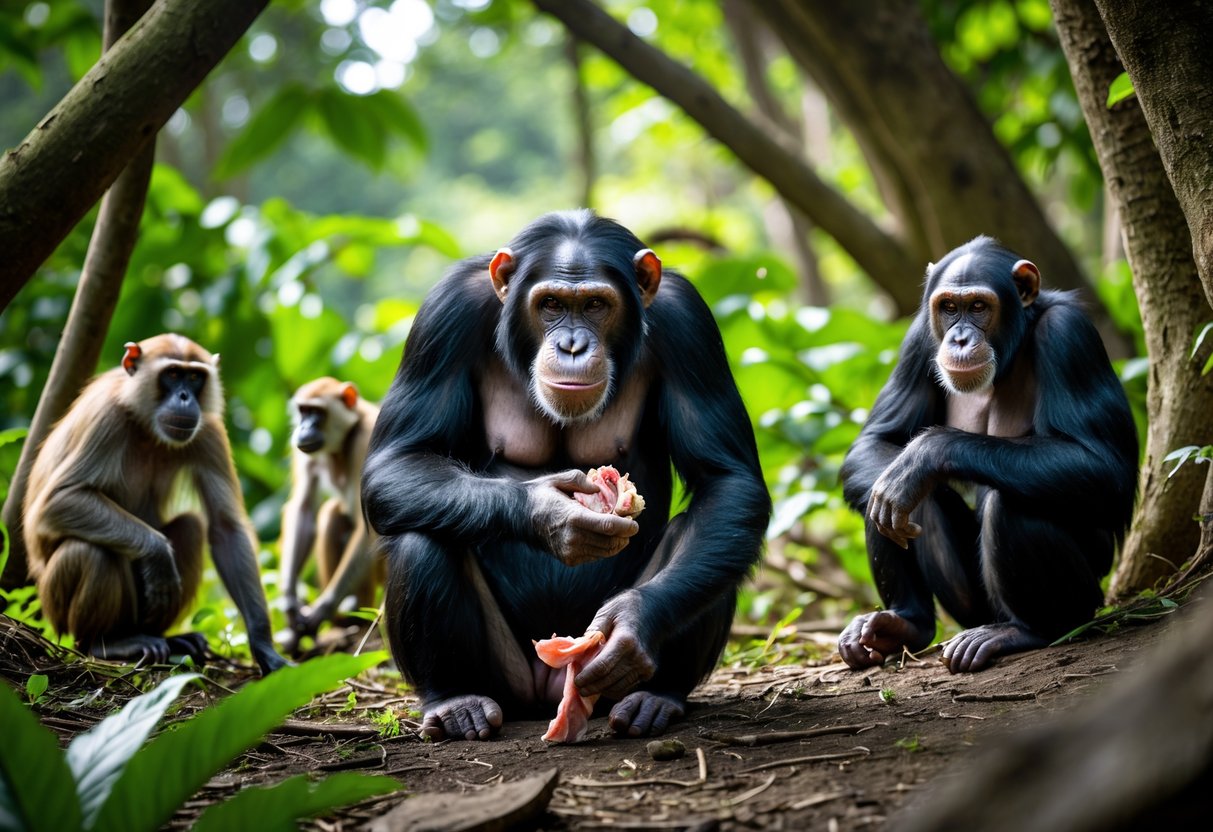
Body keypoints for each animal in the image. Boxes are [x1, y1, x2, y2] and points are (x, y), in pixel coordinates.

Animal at [23, 334, 286, 673]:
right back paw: (106, 643)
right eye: (172, 374)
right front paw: (158, 553)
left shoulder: (208, 429)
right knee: (89, 552)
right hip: (55, 605)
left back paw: (168, 639)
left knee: (191, 527)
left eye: (195, 377)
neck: (146, 427)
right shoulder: (107, 418)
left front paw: (264, 646)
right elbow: (57, 501)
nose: (186, 397)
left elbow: (226, 528)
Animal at [278, 377, 381, 651]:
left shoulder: (368, 438)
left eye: (317, 412)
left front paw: (322, 608)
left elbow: (371, 526)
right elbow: (304, 507)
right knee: (330, 514)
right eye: (303, 411)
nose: (304, 427)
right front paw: (290, 603)